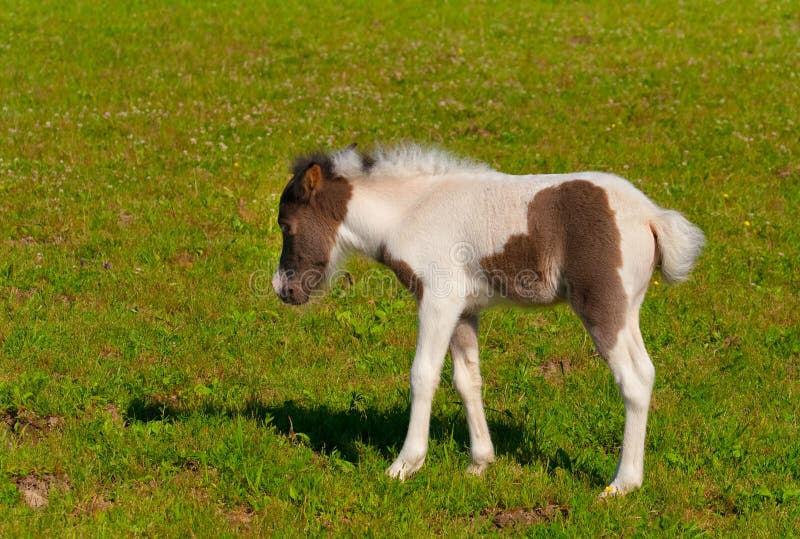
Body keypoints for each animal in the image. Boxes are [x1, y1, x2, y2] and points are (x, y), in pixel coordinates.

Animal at [271, 143, 705, 496]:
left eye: (286, 226)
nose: (282, 289)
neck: (409, 213)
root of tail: (650, 215)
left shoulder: (438, 301)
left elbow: (423, 374)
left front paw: (404, 466)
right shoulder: (464, 310)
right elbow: (468, 379)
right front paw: (479, 463)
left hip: (601, 307)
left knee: (632, 379)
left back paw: (621, 485)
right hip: (627, 311)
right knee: (646, 372)